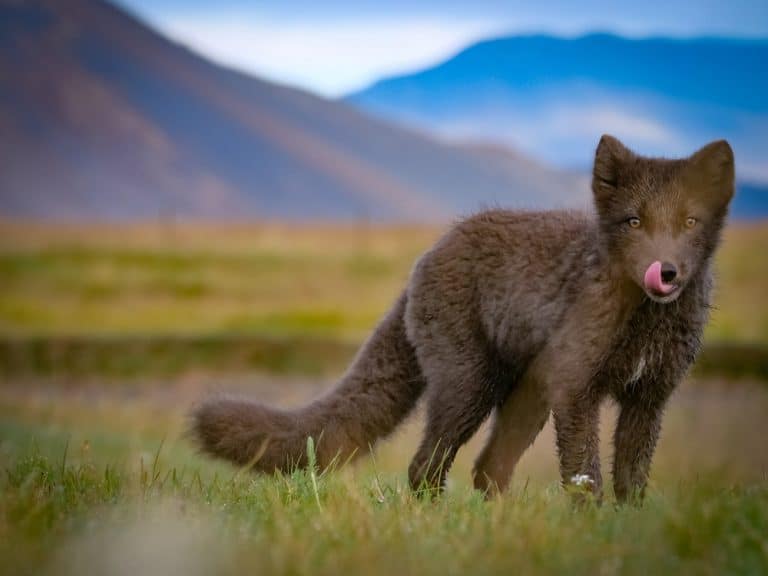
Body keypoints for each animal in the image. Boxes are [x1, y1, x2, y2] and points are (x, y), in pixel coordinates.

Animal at [192, 135, 735, 502]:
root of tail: (429, 255)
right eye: (634, 222)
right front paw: (592, 530)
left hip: (524, 401)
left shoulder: (649, 398)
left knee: (486, 469)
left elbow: (631, 480)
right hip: (469, 388)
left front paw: (623, 529)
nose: (664, 271)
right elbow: (585, 475)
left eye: (689, 222)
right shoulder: (577, 389)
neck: (644, 321)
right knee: (426, 469)